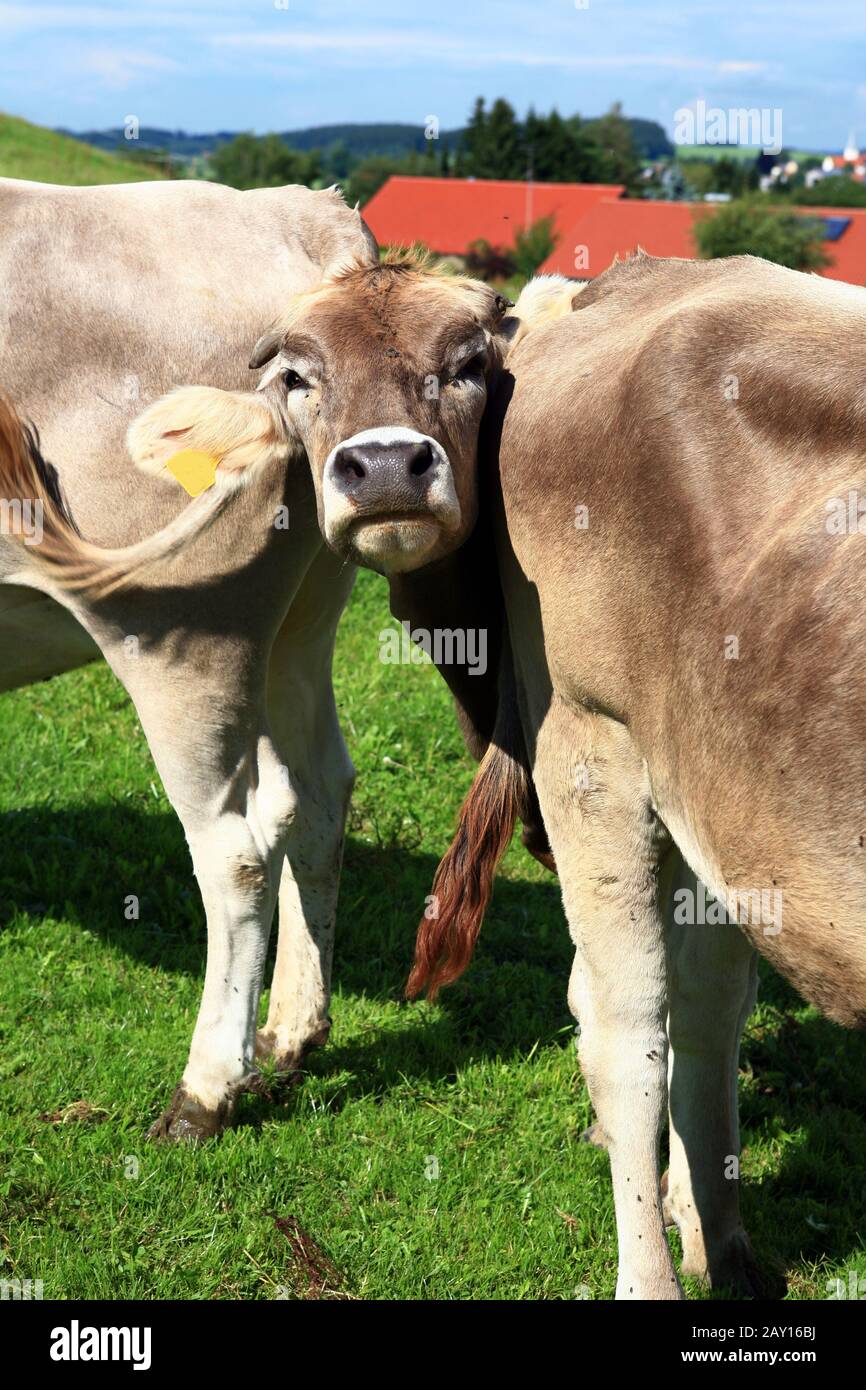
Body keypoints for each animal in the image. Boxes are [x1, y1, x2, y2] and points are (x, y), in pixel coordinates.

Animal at [395, 251, 866, 1299]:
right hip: (591, 741)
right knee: (628, 1030)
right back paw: (658, 1269)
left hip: (721, 794)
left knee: (706, 1010)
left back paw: (725, 1252)